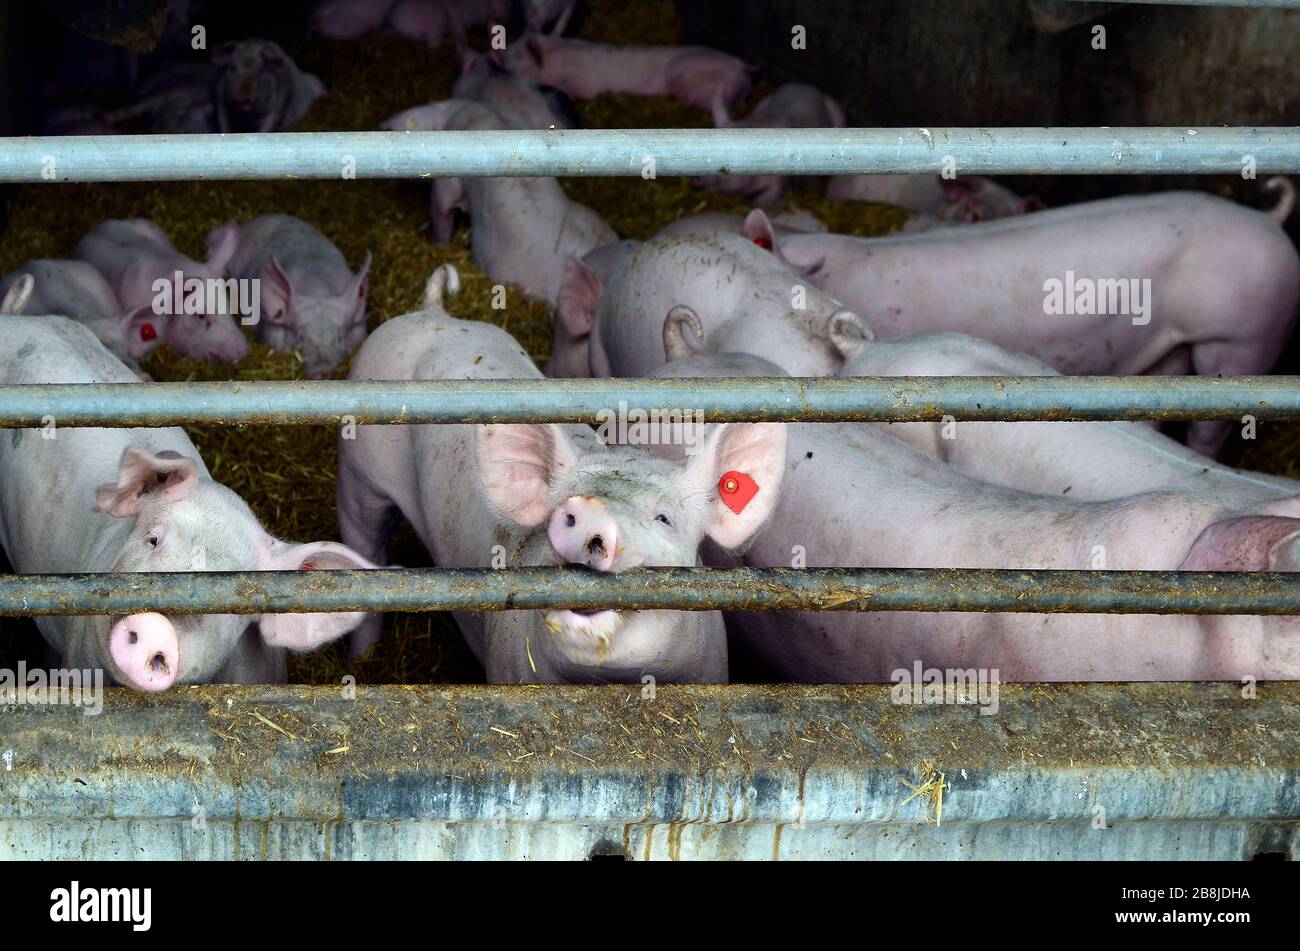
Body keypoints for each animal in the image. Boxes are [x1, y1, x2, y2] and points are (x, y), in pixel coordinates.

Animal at [691, 83, 846, 206]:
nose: (699, 178)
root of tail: (806, 86)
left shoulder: (780, 175)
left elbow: (773, 193)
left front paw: (755, 204)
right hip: (764, 101)